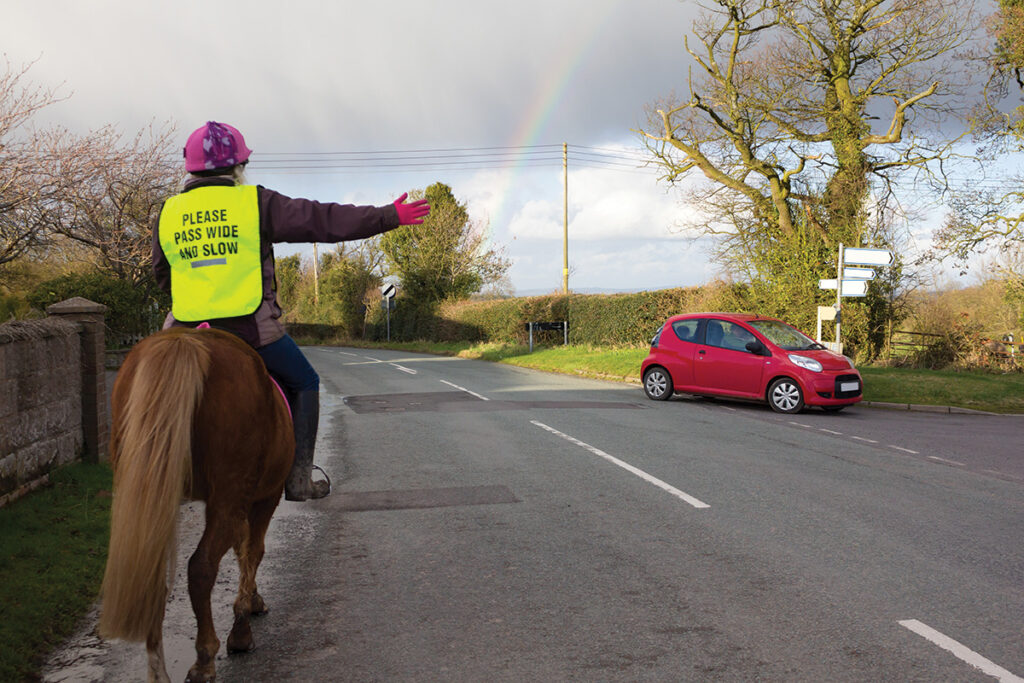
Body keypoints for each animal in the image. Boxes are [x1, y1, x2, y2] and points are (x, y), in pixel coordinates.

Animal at [98, 326, 295, 683]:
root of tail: (186, 341)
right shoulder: (265, 496)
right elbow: (252, 551)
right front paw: (243, 623)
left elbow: (244, 550)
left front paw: (250, 604)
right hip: (230, 496)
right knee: (202, 566)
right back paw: (206, 657)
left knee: (154, 574)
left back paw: (159, 672)